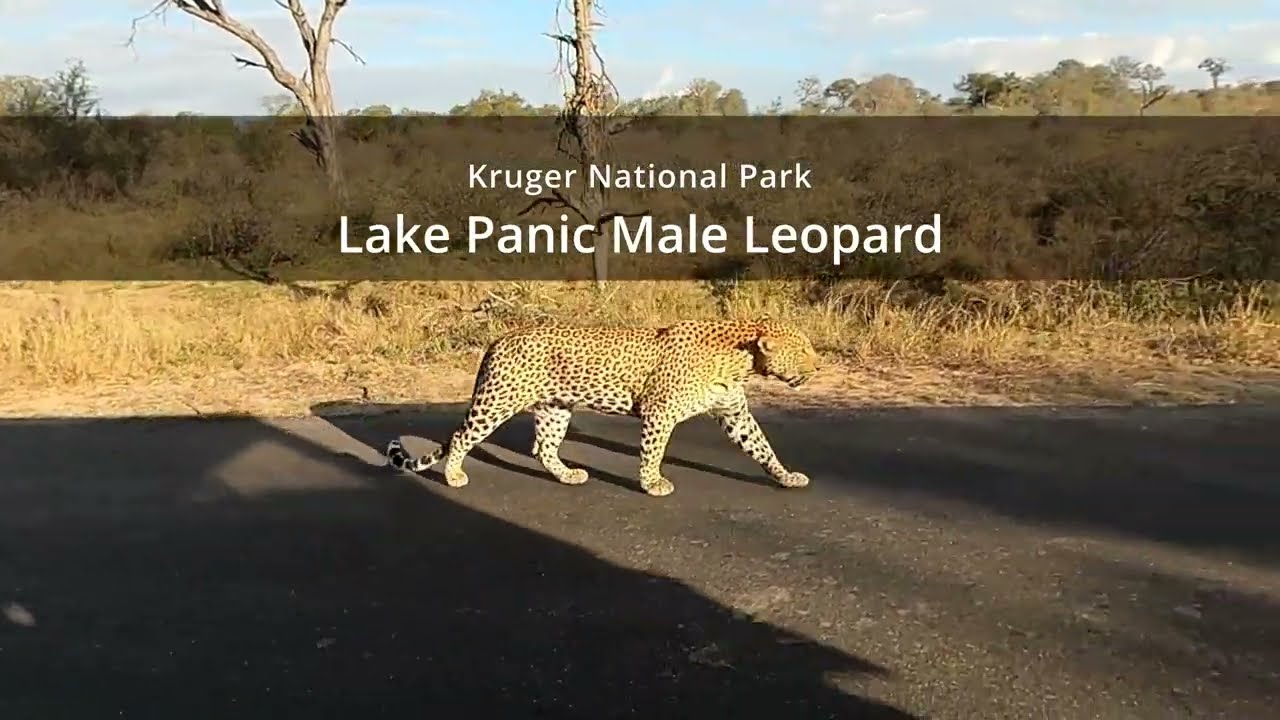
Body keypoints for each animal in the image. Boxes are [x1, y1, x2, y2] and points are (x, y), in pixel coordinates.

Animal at [384, 316, 821, 498]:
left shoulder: (734, 413)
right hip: (499, 399)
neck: (741, 361)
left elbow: (762, 447)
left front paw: (786, 477)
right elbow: (653, 450)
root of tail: (501, 338)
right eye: (802, 351)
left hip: (555, 407)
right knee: (462, 436)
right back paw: (454, 475)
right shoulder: (660, 410)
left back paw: (568, 476)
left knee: (543, 448)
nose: (818, 367)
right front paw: (651, 483)